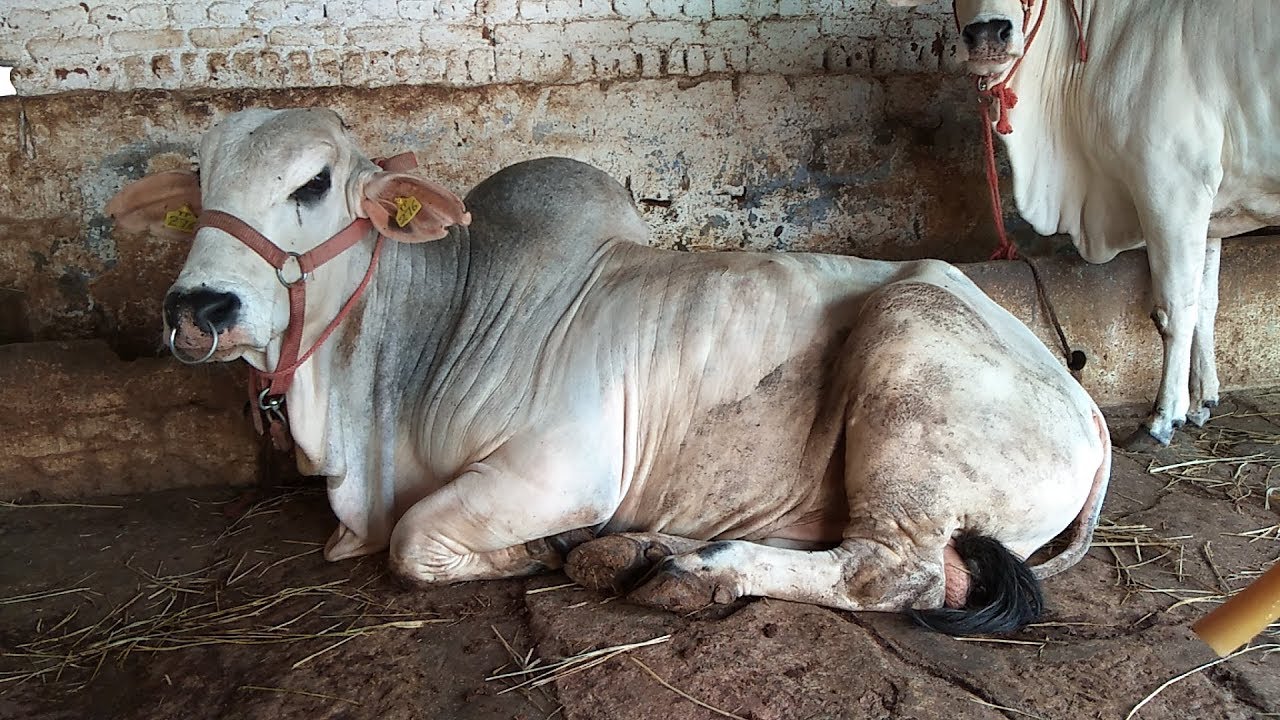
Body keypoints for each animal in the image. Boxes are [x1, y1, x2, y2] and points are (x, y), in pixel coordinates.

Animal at [106, 108, 1110, 635]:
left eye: (312, 184)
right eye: (198, 189)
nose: (197, 309)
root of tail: (1087, 410)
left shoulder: (562, 468)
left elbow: (415, 542)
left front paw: (535, 549)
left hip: (910, 357)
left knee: (894, 574)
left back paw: (696, 571)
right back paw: (640, 550)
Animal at [890, 0, 1280, 445]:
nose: (988, 33)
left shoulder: (1175, 186)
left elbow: (1176, 310)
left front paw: (1165, 417)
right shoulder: (1213, 208)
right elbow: (1207, 303)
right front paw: (1203, 402)